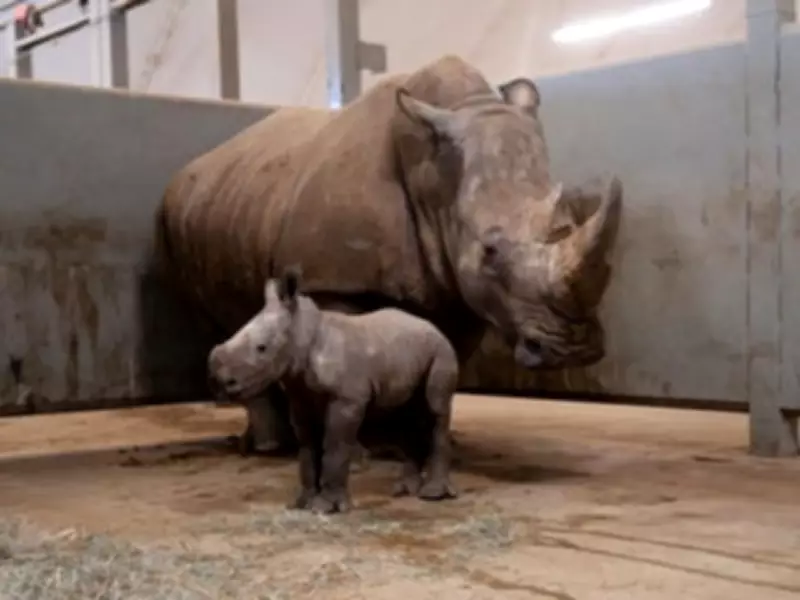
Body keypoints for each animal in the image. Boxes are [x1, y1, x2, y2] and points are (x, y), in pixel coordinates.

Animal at [157, 54, 623, 455]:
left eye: (567, 225)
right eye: (489, 252)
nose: (574, 349)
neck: (433, 179)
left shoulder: (456, 291)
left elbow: (440, 355)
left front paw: (419, 442)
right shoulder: (333, 279)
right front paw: (360, 449)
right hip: (177, 223)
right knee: (218, 323)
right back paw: (272, 448)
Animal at [207, 268, 460, 514]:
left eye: (262, 348)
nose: (224, 382)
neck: (303, 333)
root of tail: (432, 325)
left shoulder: (347, 399)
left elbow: (335, 446)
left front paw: (326, 508)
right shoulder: (300, 396)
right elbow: (308, 446)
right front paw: (302, 503)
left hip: (442, 349)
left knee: (435, 408)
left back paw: (433, 495)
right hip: (408, 351)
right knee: (406, 411)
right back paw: (404, 490)